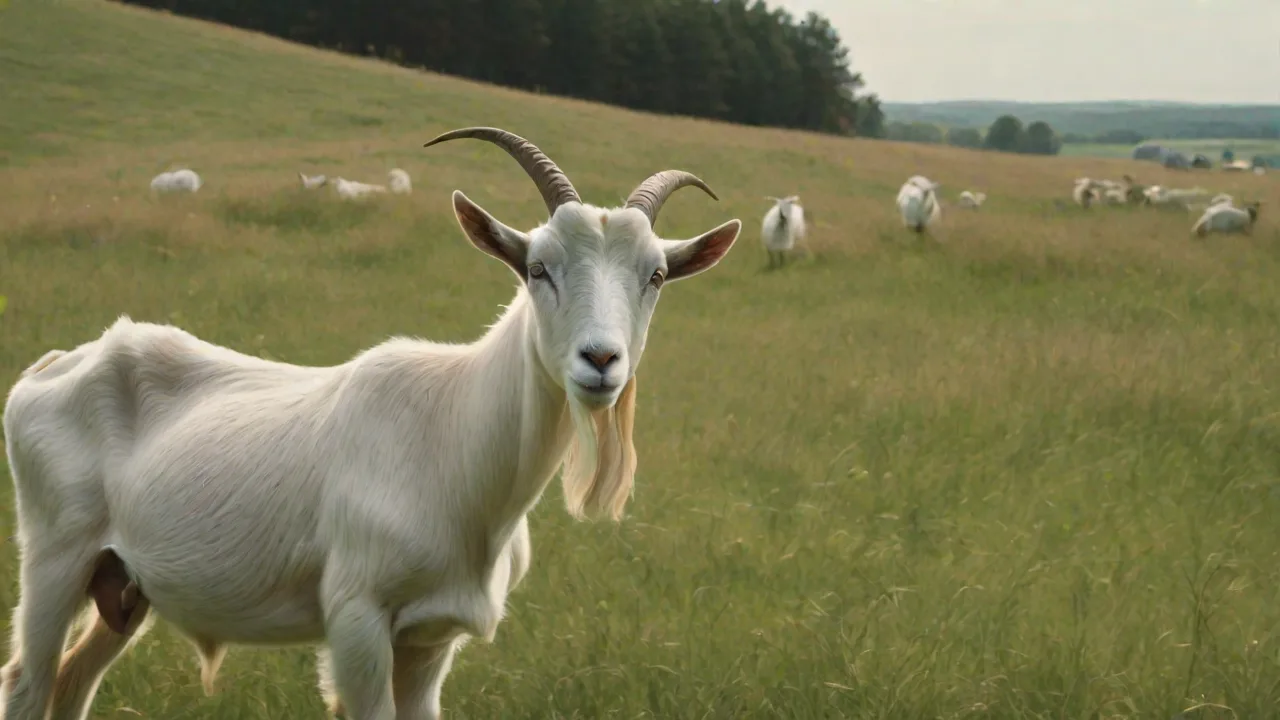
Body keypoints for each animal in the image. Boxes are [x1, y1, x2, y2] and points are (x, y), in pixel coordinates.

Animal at [0, 127, 741, 720]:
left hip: (122, 584)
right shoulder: (357, 620)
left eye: (655, 276)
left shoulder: (431, 639)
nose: (601, 361)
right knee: (27, 681)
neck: (454, 441)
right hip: (57, 554)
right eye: (537, 267)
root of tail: (53, 367)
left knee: (72, 685)